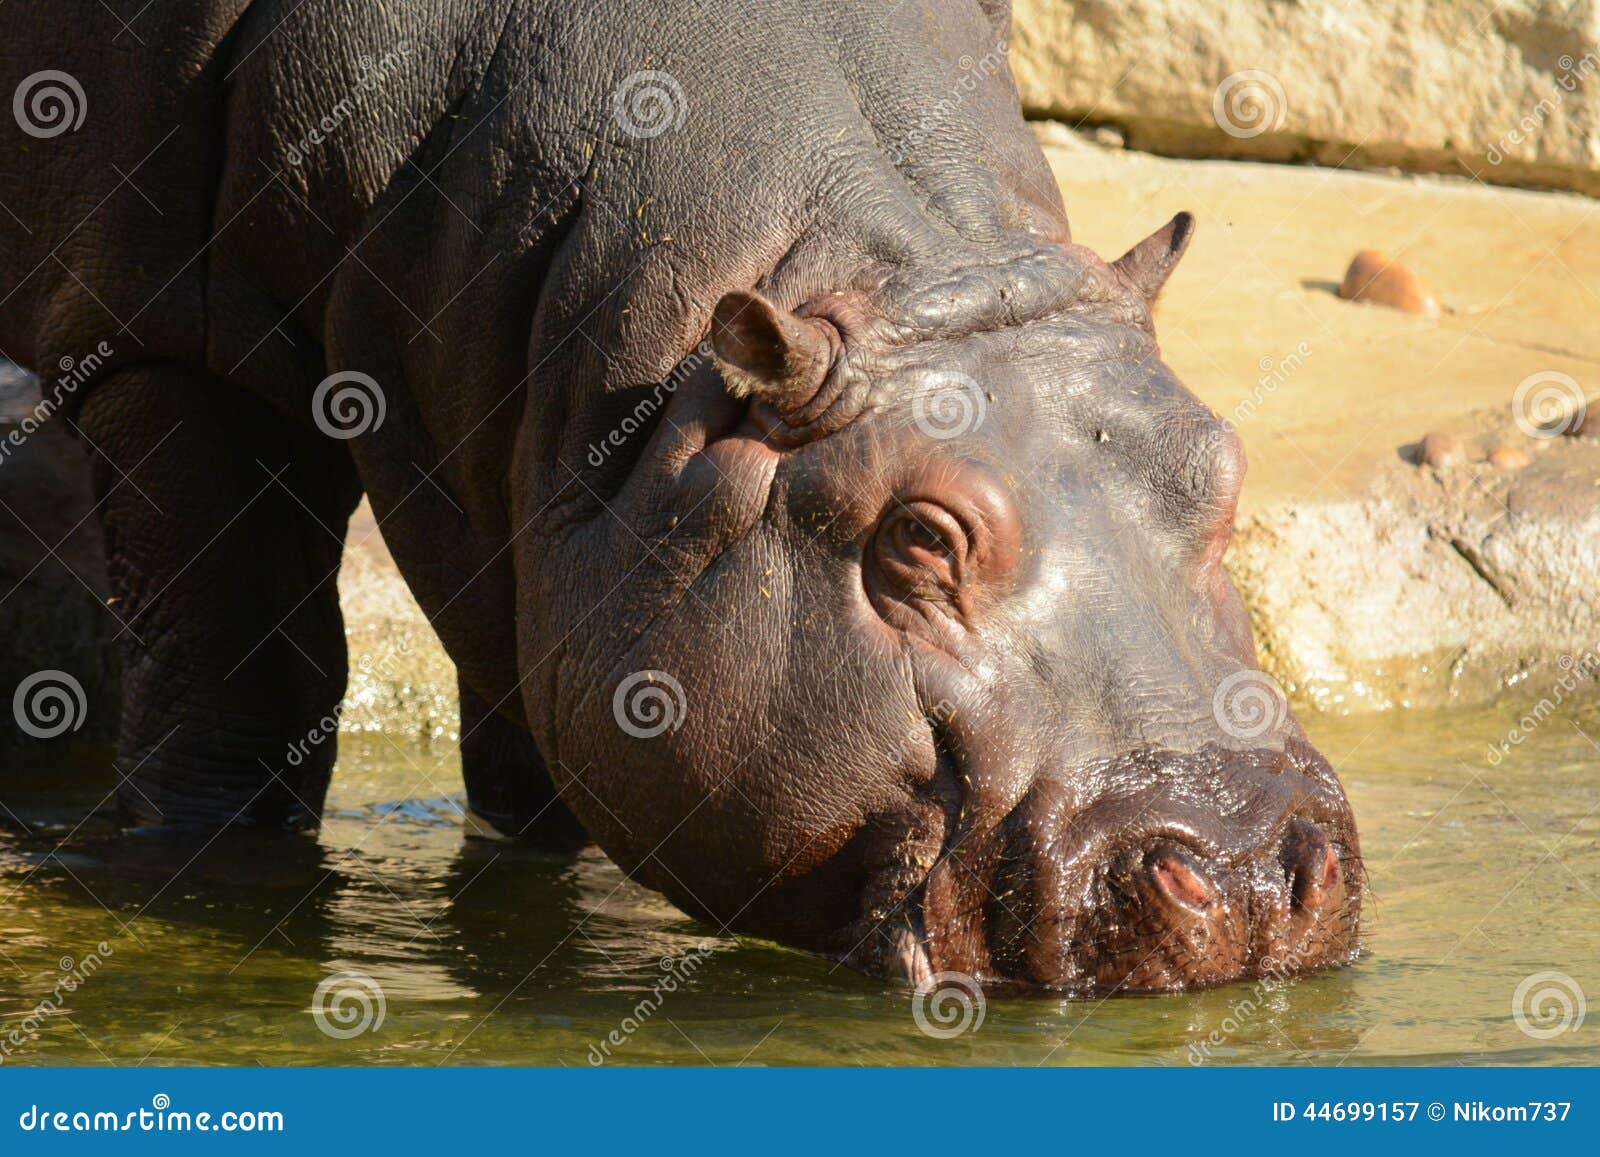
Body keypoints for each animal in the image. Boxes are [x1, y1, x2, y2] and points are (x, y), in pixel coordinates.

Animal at [0, 0, 1360, 992]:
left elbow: (531, 712)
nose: (1245, 865)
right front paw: (207, 872)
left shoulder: (531, 466)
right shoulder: (155, 336)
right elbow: (238, 664)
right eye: (918, 540)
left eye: (1221, 468)